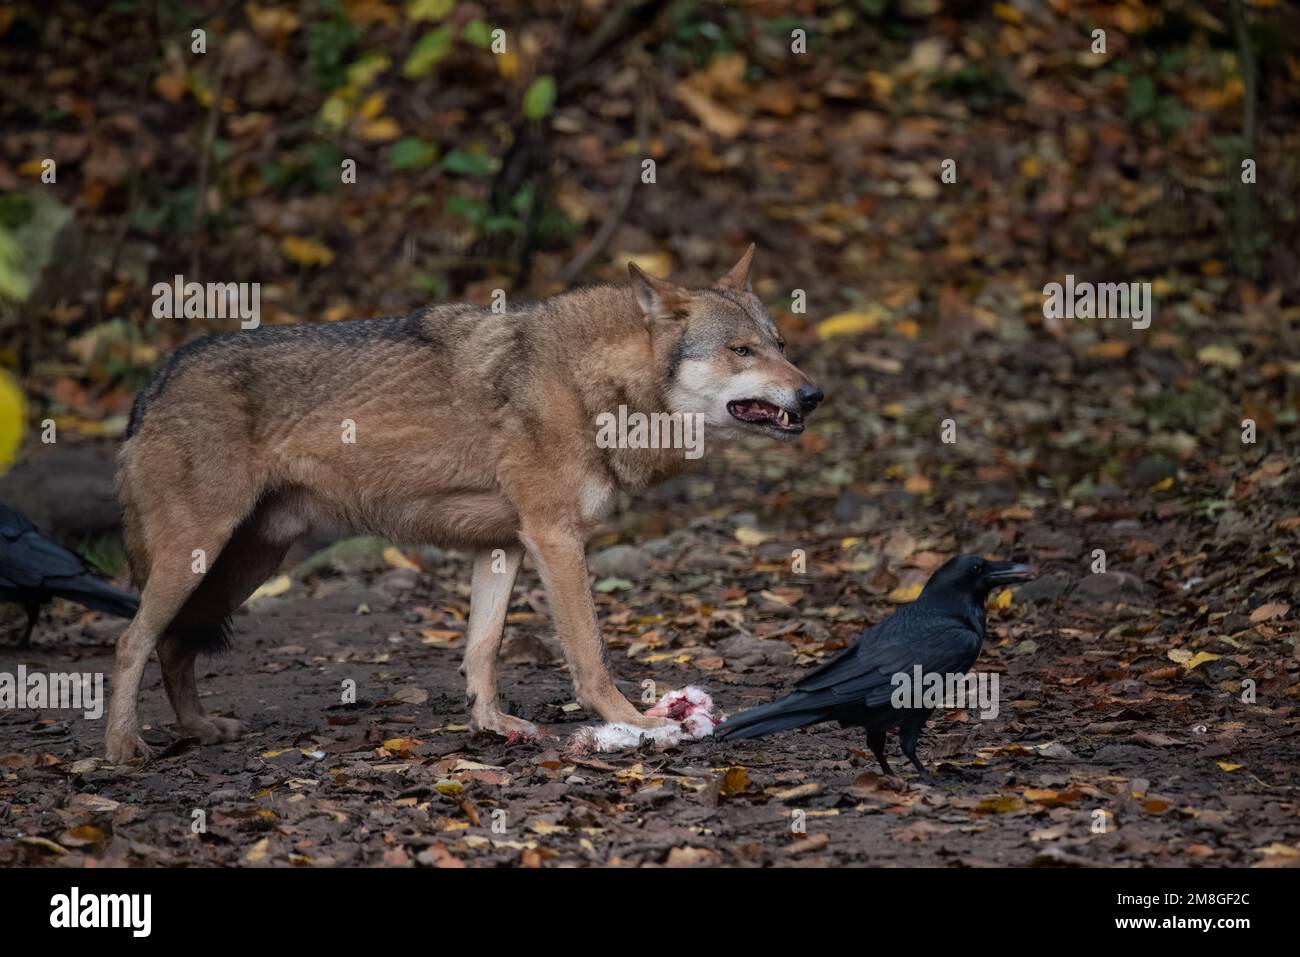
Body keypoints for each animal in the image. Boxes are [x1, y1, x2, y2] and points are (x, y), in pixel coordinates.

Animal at [105, 245, 823, 762]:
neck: (588, 385)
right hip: (197, 557)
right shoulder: (555, 538)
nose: (813, 394)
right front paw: (634, 722)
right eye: (741, 350)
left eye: (781, 344)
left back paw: (199, 730)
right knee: (132, 639)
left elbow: (482, 649)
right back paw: (123, 748)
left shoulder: (503, 546)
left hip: (243, 566)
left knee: (173, 645)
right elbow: (589, 653)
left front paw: (492, 725)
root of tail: (158, 379)